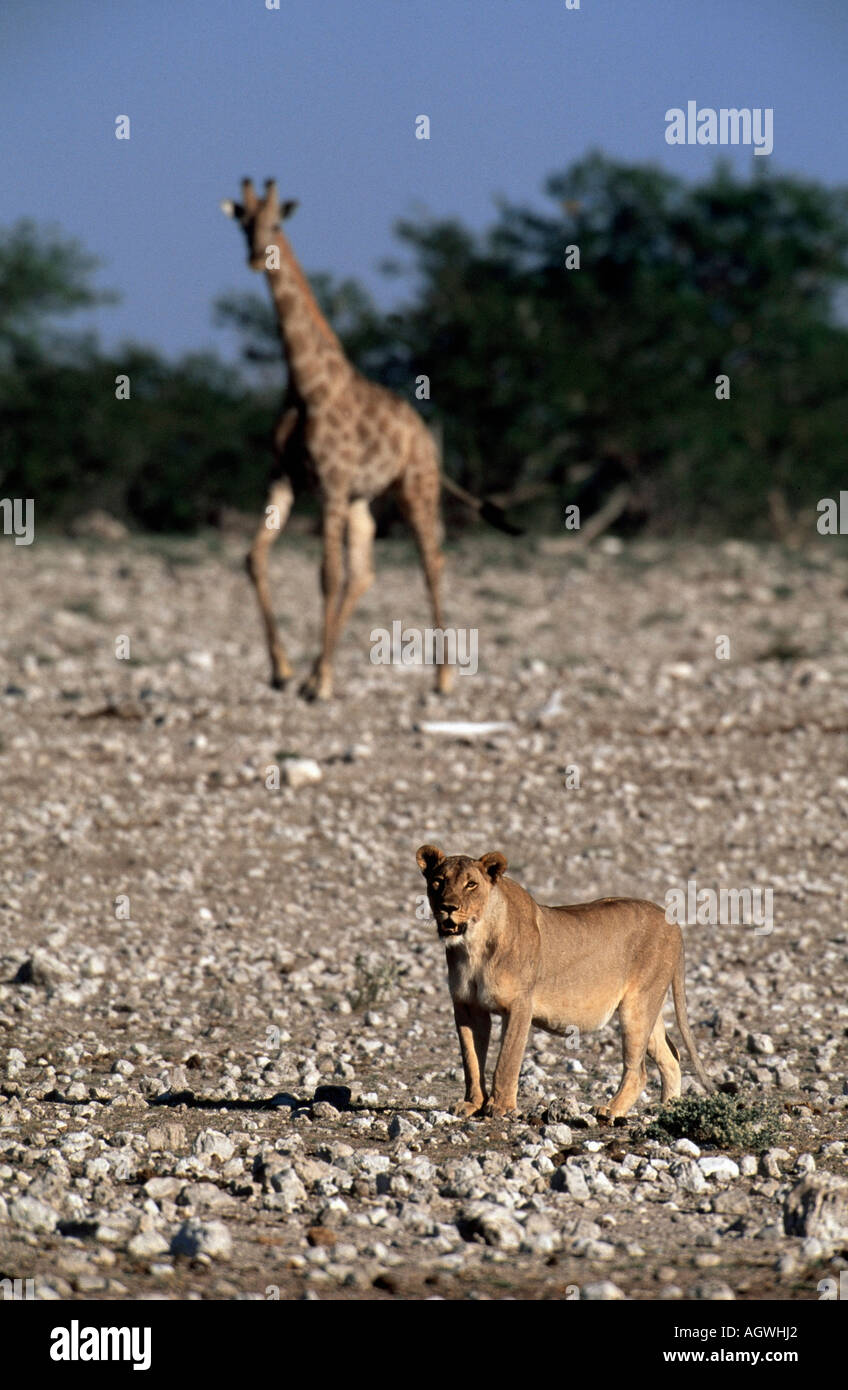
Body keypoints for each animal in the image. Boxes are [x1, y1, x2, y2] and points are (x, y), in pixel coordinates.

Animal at [220, 178, 451, 701]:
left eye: (277, 225)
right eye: (244, 224)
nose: (255, 258)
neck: (306, 387)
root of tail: (423, 431)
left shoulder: (331, 484)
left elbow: (327, 574)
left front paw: (320, 684)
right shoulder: (285, 480)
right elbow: (254, 558)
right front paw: (285, 671)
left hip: (416, 488)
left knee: (431, 562)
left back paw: (443, 678)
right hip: (362, 500)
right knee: (364, 571)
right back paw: (313, 672)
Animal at [416, 844, 715, 1120]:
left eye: (471, 884)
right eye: (438, 881)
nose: (447, 908)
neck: (473, 945)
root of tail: (672, 922)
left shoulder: (520, 1005)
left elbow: (507, 1061)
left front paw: (500, 1107)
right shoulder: (467, 1007)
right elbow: (471, 1060)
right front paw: (472, 1104)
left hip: (638, 1006)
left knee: (638, 1070)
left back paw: (610, 1110)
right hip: (648, 1006)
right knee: (671, 1057)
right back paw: (670, 1110)